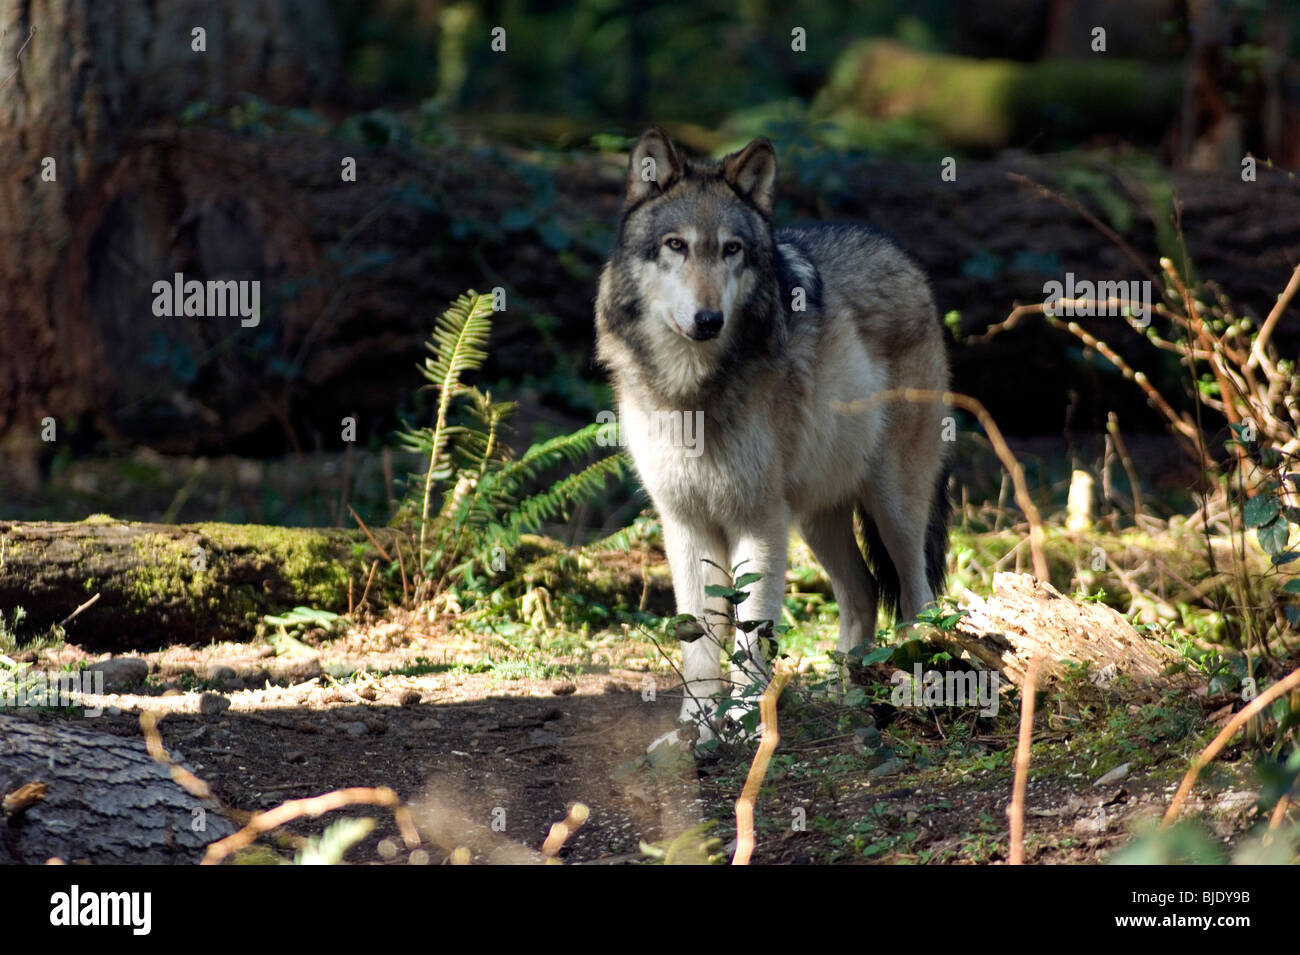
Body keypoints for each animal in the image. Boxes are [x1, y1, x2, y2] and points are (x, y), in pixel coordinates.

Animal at [595, 128, 952, 746]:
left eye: (732, 249)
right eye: (676, 246)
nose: (708, 319)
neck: (691, 388)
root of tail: (898, 252)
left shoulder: (756, 520)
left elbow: (750, 629)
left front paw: (743, 724)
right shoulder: (685, 521)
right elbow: (701, 637)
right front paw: (694, 731)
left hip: (891, 508)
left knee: (915, 596)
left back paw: (909, 688)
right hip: (813, 519)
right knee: (861, 594)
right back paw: (847, 699)